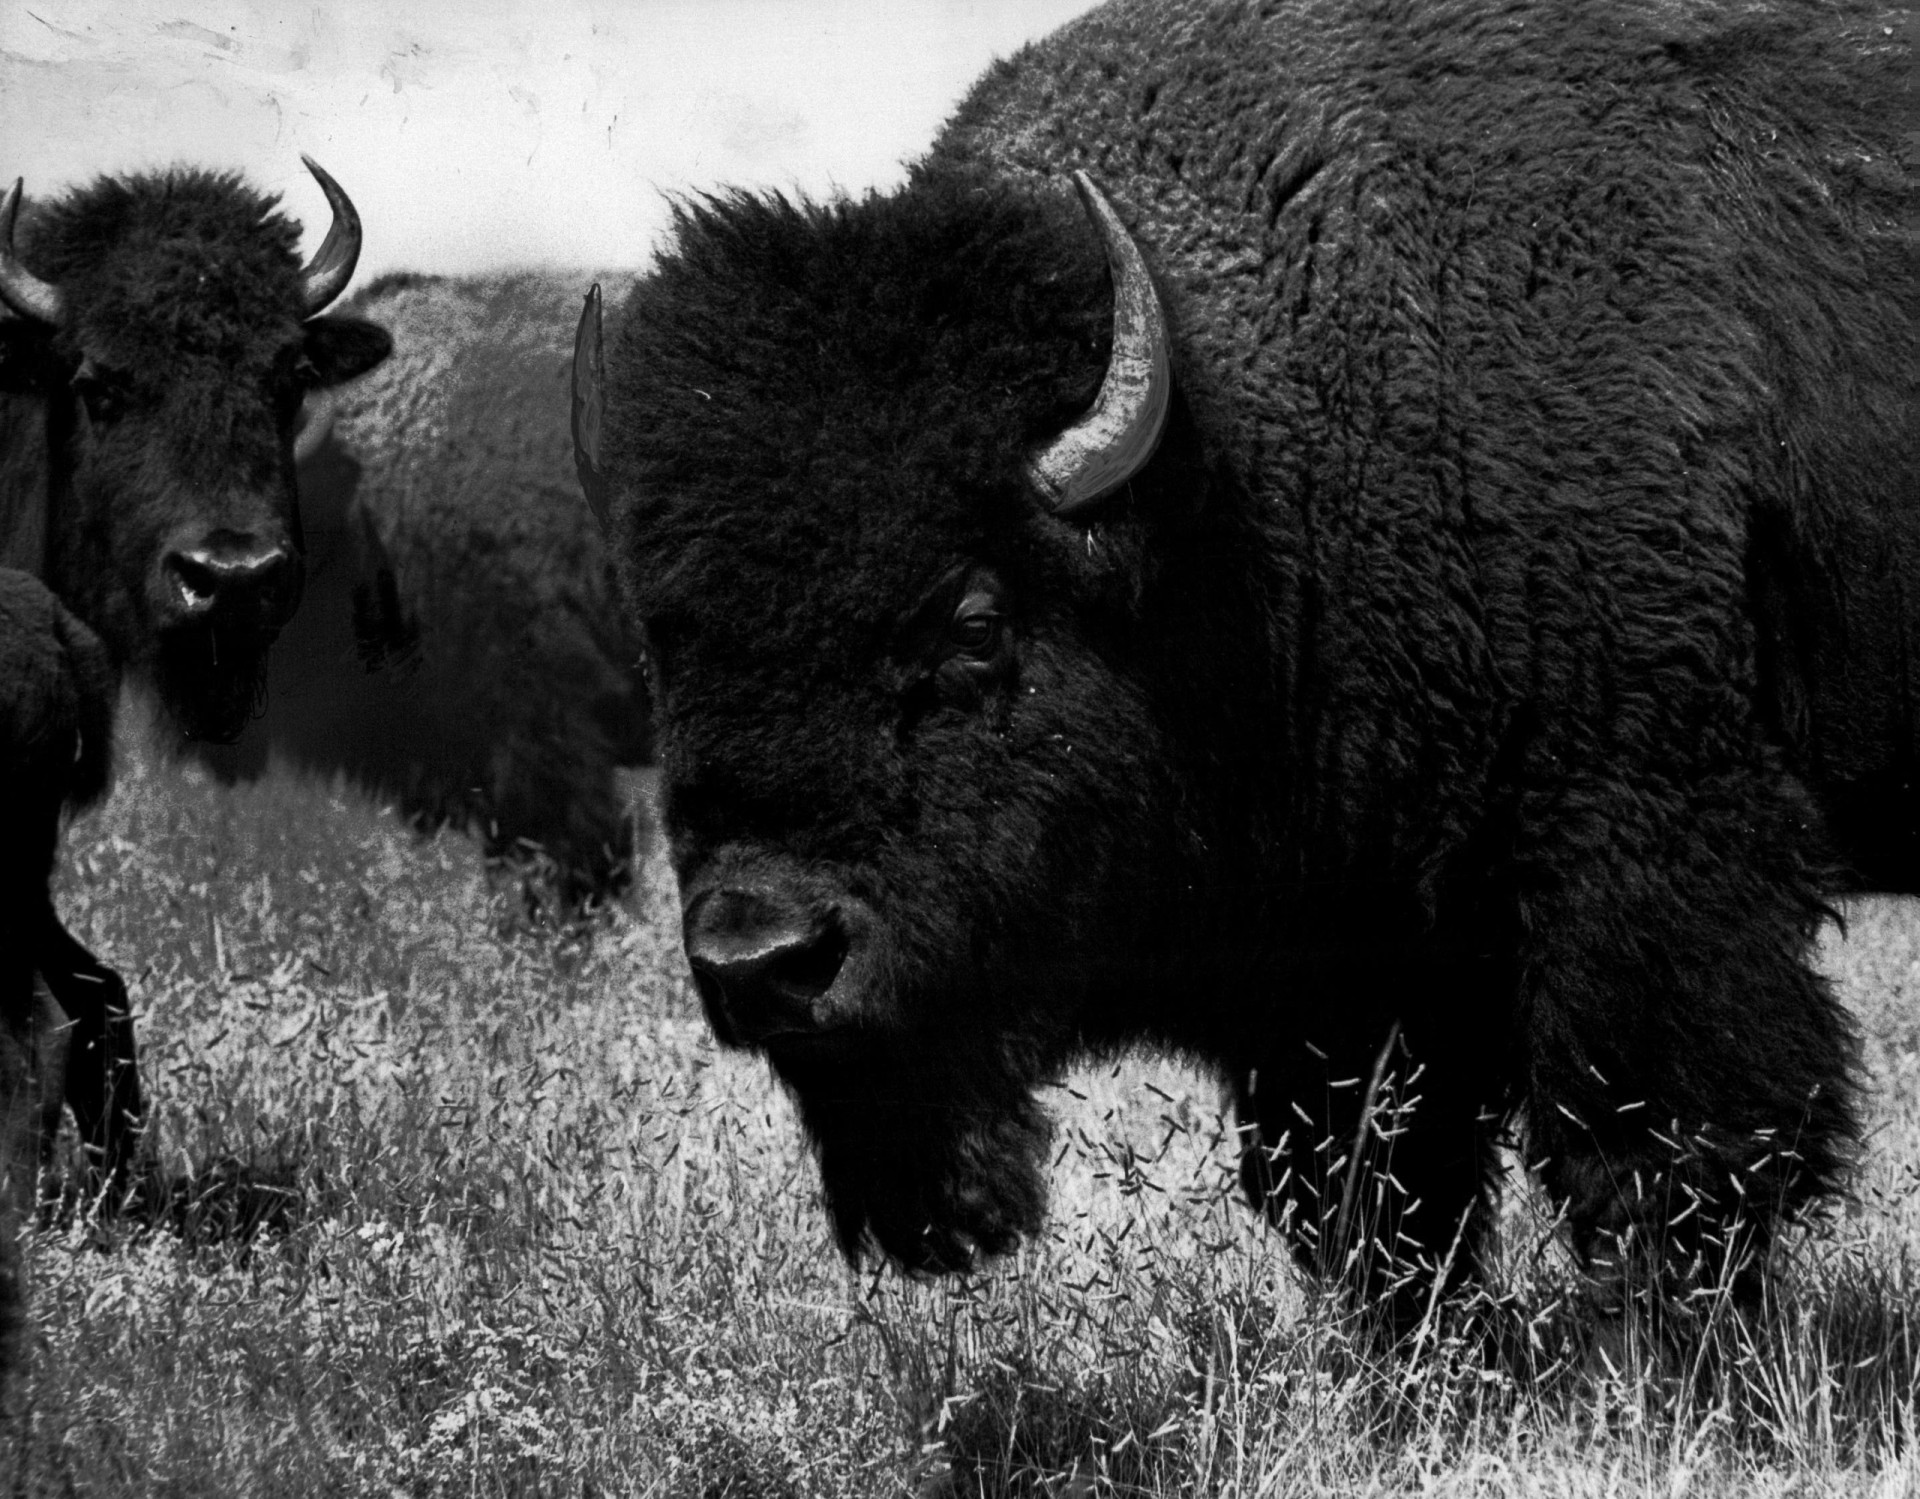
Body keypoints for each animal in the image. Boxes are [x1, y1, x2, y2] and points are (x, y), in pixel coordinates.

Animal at [574, 0, 1914, 1337]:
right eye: (662, 636)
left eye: (976, 621)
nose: (764, 958)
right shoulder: (1346, 955)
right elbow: (1372, 1181)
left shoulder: (1640, 851)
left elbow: (1659, 1146)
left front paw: (1664, 1355)